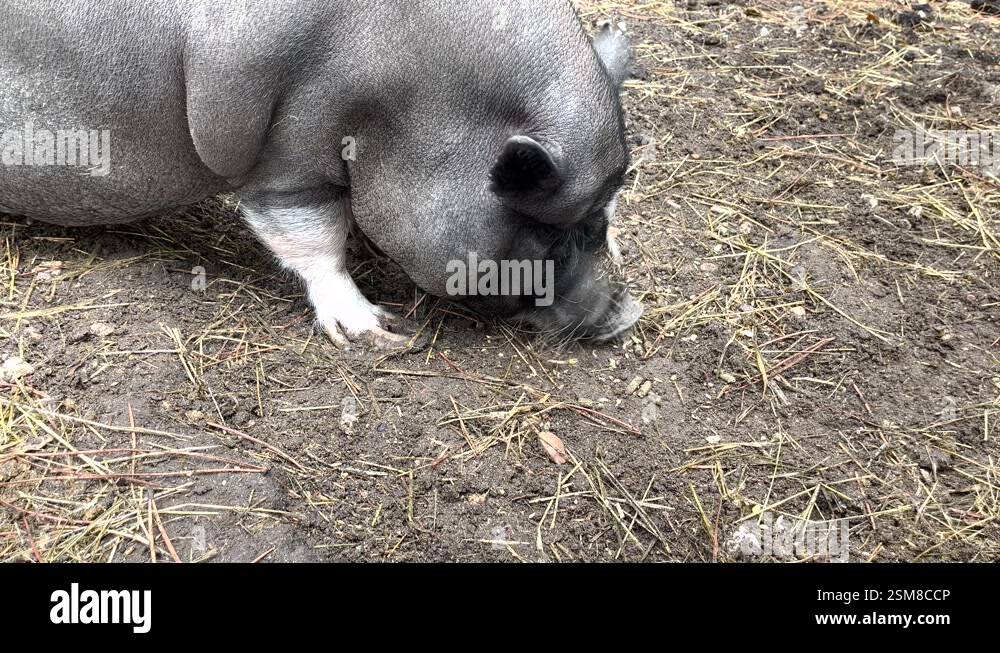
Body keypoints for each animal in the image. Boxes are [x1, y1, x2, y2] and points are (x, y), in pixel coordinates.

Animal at [0, 0, 641, 347]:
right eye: (549, 233)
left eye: (602, 225)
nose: (625, 313)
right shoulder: (287, 155)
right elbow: (312, 238)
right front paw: (380, 332)